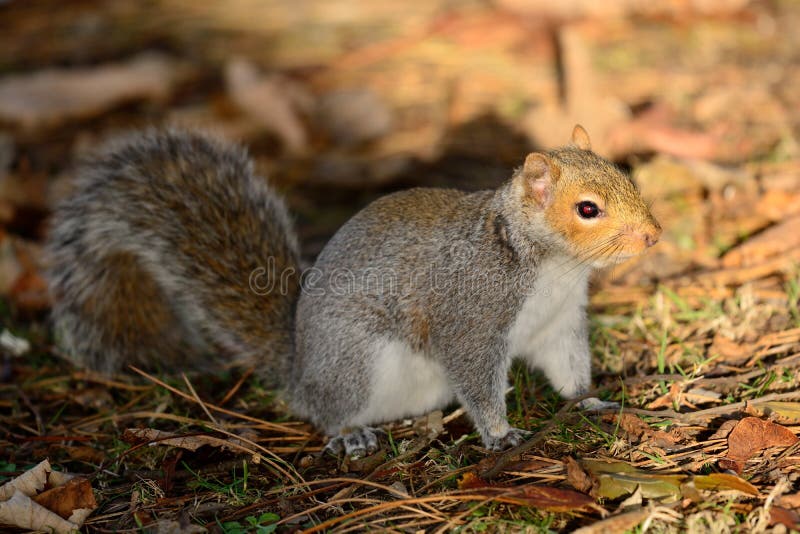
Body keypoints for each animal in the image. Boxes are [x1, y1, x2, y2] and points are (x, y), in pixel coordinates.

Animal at [46, 125, 661, 456]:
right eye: (587, 209)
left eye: (626, 175)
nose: (654, 236)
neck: (552, 267)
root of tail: (301, 369)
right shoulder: (471, 316)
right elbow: (478, 378)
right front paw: (501, 434)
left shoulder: (558, 324)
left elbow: (569, 367)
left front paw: (590, 400)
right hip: (355, 362)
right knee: (329, 410)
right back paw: (350, 435)